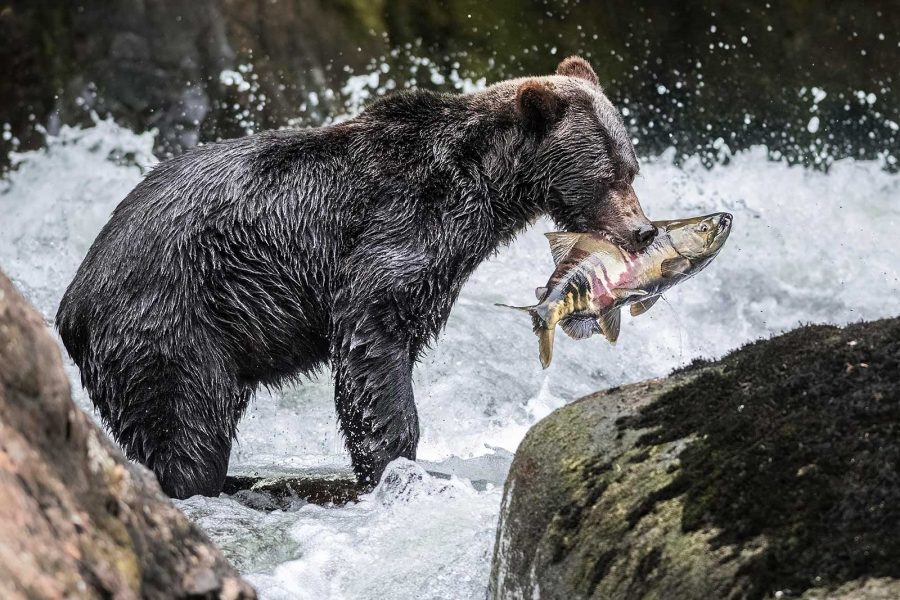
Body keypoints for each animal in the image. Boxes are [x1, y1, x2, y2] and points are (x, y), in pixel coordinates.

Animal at [56, 56, 656, 499]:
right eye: (607, 177)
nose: (644, 231)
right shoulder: (396, 230)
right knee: (187, 425)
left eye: (632, 168)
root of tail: (72, 306)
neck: (484, 184)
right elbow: (373, 346)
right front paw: (395, 464)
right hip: (171, 324)